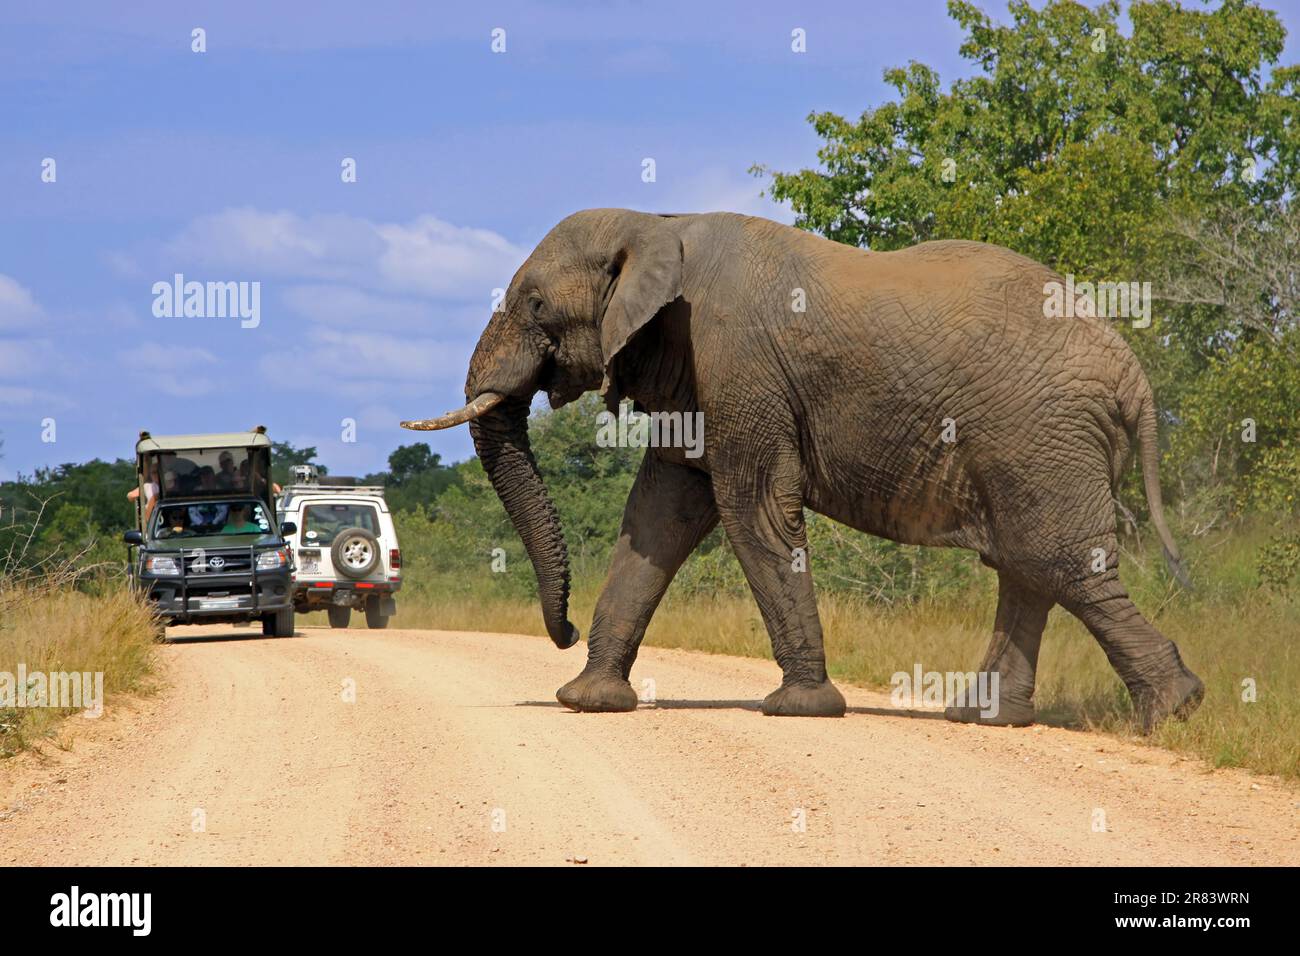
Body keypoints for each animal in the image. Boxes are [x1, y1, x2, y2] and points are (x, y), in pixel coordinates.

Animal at [402, 208, 1204, 733]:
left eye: (535, 305)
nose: (562, 631)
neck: (657, 223)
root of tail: (1134, 374)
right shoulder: (697, 374)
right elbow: (658, 516)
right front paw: (587, 700)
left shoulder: (736, 362)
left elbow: (751, 510)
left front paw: (800, 710)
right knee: (1027, 566)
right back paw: (986, 720)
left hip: (1040, 433)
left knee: (1058, 563)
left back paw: (1174, 711)